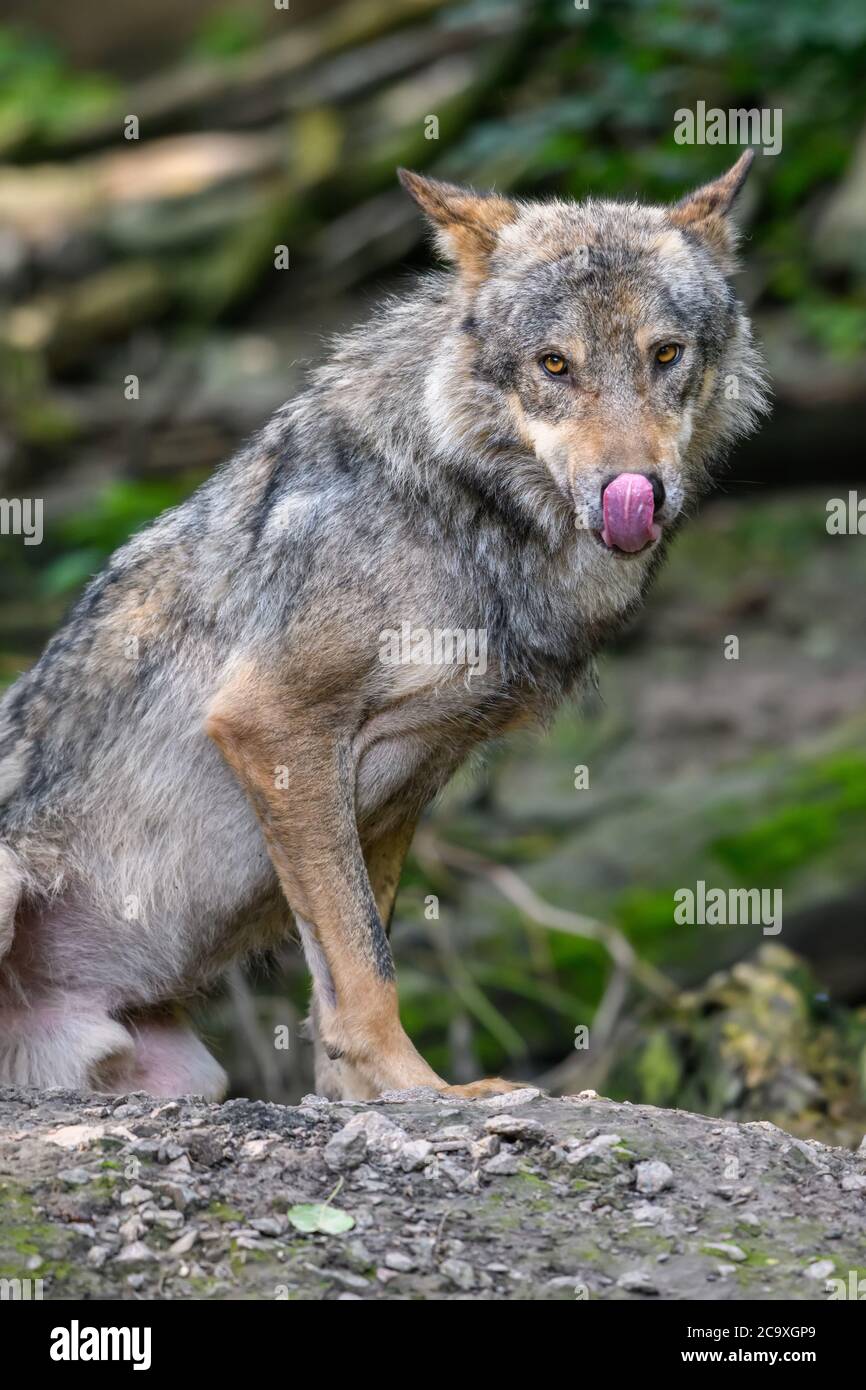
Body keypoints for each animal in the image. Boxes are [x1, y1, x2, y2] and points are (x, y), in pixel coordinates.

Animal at [0, 153, 767, 1101]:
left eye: (666, 355)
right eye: (555, 365)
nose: (636, 493)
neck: (463, 511)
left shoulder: (405, 776)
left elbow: (349, 961)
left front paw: (363, 1097)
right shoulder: (276, 725)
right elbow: (366, 961)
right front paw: (424, 1091)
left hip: (189, 1075)